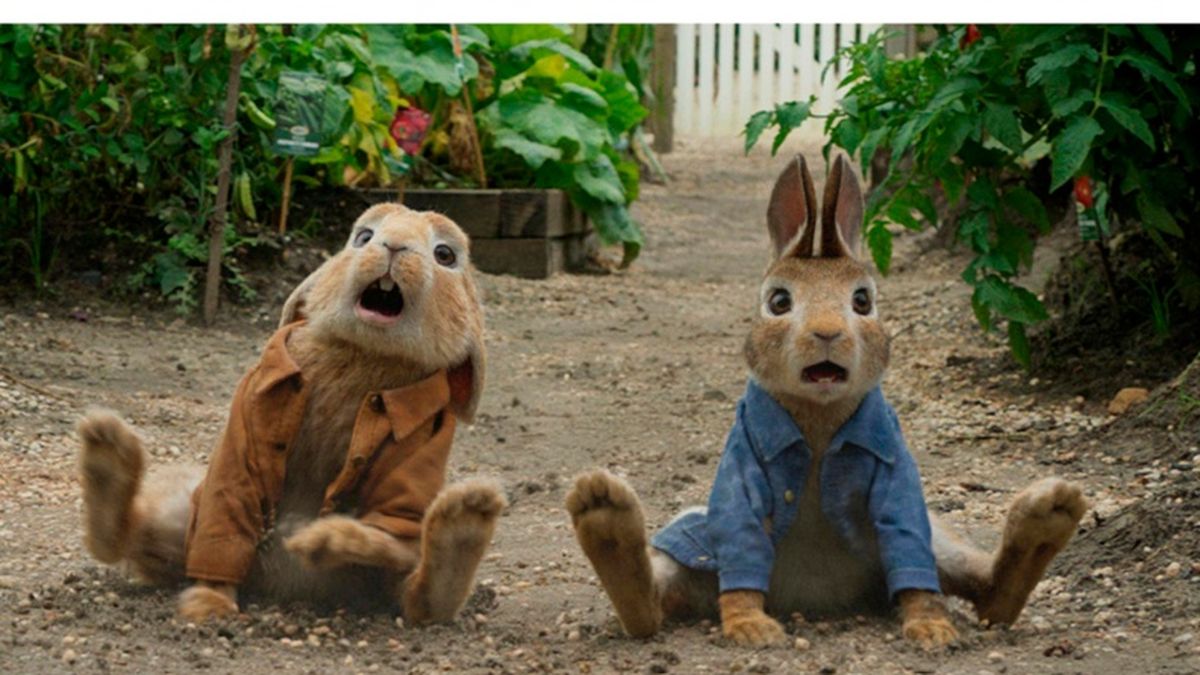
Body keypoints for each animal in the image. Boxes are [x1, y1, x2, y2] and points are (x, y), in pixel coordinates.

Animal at [76, 203, 506, 624]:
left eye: (445, 255)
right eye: (363, 236)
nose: (394, 245)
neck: (368, 353)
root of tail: (277, 585)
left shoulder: (423, 443)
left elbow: (391, 516)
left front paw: (324, 539)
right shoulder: (243, 434)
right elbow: (228, 509)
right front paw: (209, 605)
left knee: (419, 598)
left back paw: (464, 517)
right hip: (186, 516)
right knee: (133, 540)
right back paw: (107, 447)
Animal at [565, 155, 1088, 649]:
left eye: (862, 302)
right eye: (778, 302)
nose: (827, 333)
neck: (818, 418)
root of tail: (817, 599)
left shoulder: (896, 475)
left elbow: (908, 543)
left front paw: (931, 629)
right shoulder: (743, 466)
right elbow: (741, 537)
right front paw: (750, 628)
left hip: (938, 541)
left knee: (986, 592)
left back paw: (1050, 514)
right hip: (692, 545)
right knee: (654, 603)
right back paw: (603, 511)